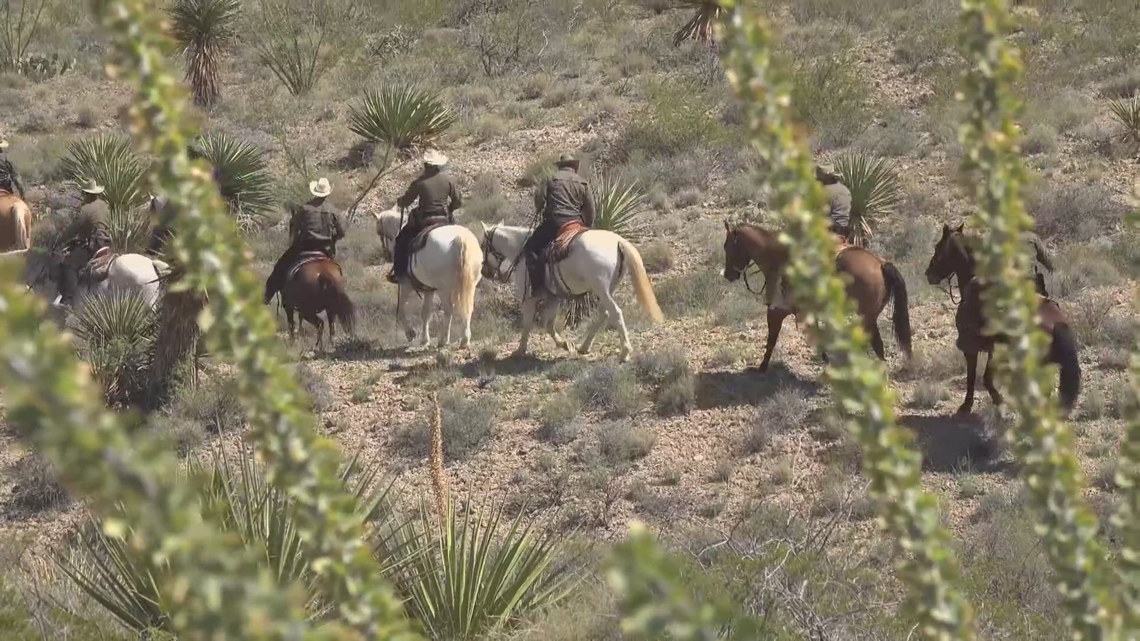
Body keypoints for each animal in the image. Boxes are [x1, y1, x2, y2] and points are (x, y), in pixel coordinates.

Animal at [371, 211, 483, 349]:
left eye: (379, 233)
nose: (386, 254)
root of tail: (460, 240)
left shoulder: (406, 284)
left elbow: (401, 307)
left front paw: (410, 333)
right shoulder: (429, 289)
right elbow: (425, 312)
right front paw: (424, 340)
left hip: (443, 289)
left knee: (449, 309)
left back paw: (444, 340)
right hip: (470, 286)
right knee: (468, 309)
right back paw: (464, 340)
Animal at [479, 221, 664, 363]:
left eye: (482, 246)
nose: (484, 272)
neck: (521, 251)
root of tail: (618, 241)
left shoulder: (529, 299)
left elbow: (527, 325)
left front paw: (520, 350)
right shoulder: (554, 298)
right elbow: (548, 325)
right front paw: (565, 344)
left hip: (601, 288)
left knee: (615, 313)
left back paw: (624, 352)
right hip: (608, 288)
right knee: (604, 313)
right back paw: (584, 347)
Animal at [721, 221, 912, 372]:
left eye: (727, 246)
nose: (728, 275)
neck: (778, 259)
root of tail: (880, 264)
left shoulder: (776, 311)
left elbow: (771, 340)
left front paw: (762, 367)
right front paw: (826, 360)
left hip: (867, 318)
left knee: (877, 346)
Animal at [924, 223, 1080, 414]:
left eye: (938, 247)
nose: (928, 273)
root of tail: (1058, 324)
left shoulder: (970, 347)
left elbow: (972, 376)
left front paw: (967, 405)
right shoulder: (994, 347)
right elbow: (987, 376)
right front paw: (999, 399)